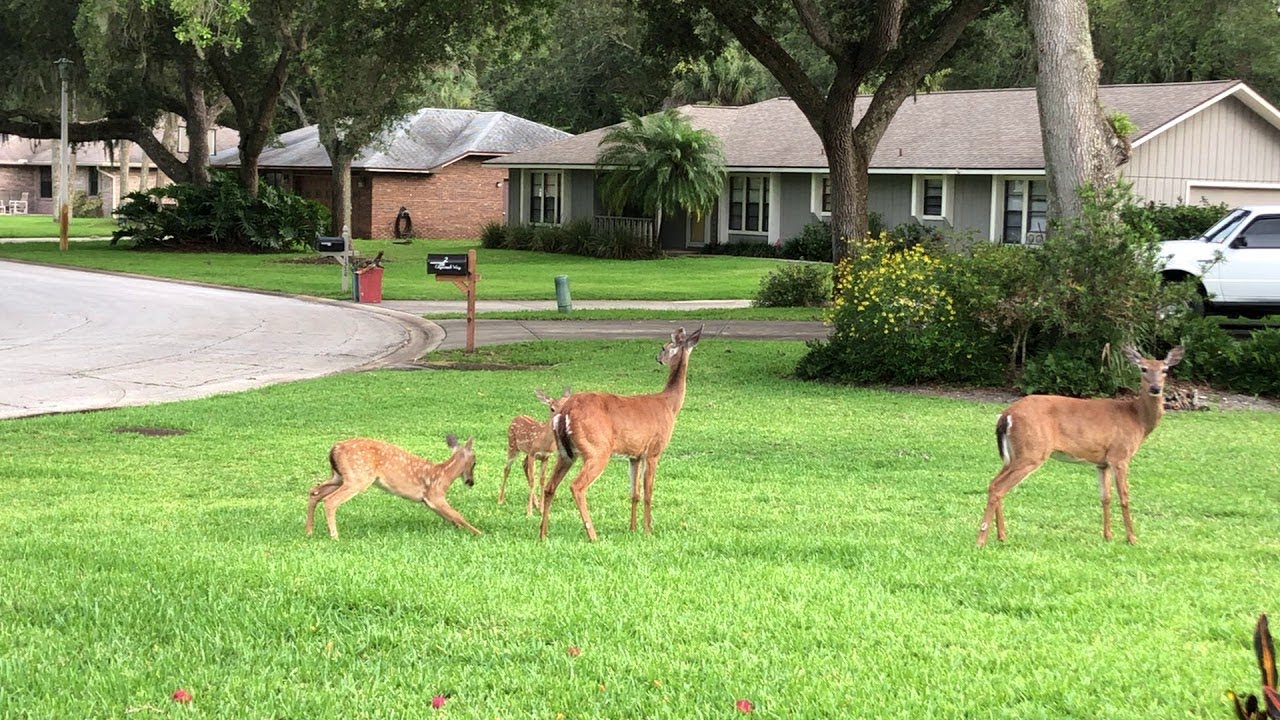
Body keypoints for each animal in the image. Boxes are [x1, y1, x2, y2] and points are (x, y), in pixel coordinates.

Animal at [305, 434, 480, 539]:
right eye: (475, 462)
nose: (470, 482)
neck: (443, 475)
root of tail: (334, 449)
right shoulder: (435, 495)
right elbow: (458, 515)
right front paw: (479, 533)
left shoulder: (429, 502)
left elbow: (453, 518)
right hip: (358, 478)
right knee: (330, 500)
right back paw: (335, 536)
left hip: (339, 477)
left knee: (314, 491)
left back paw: (309, 532)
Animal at [498, 387, 570, 515]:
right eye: (552, 408)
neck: (544, 442)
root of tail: (516, 417)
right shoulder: (533, 453)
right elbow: (533, 480)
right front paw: (529, 512)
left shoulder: (545, 457)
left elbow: (542, 480)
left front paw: (541, 508)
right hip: (512, 445)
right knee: (507, 469)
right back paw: (500, 500)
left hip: (525, 451)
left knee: (523, 464)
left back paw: (536, 503)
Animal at [539, 326, 703, 542]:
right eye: (664, 345)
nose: (657, 357)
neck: (669, 404)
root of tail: (565, 411)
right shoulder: (654, 450)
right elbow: (649, 493)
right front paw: (648, 530)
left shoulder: (635, 455)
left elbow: (635, 493)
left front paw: (632, 529)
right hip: (597, 449)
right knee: (577, 486)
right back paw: (593, 535)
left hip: (565, 453)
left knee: (550, 487)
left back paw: (543, 534)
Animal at [977, 345, 1184, 548]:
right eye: (1143, 368)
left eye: (1165, 370)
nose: (1156, 388)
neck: (1137, 419)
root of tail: (1006, 415)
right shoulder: (1120, 455)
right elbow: (1124, 497)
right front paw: (1132, 539)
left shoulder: (1103, 462)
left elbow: (1105, 497)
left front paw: (1108, 536)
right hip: (1032, 451)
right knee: (999, 487)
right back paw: (981, 540)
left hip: (1013, 455)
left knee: (993, 483)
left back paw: (1002, 536)